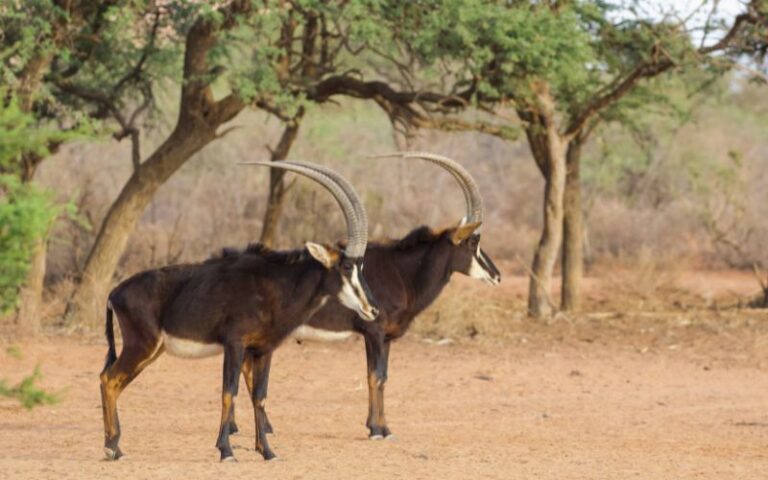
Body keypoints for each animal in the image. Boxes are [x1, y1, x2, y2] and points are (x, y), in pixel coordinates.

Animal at [99, 161, 379, 463]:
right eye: (347, 267)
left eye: (362, 266)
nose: (373, 309)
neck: (276, 285)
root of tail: (114, 294)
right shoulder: (235, 344)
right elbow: (229, 392)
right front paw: (226, 450)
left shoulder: (264, 350)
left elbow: (259, 395)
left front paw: (267, 451)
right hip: (142, 346)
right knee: (109, 379)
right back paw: (112, 447)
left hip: (152, 351)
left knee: (112, 381)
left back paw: (115, 447)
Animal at [226, 152, 501, 440]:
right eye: (473, 242)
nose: (497, 275)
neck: (402, 273)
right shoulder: (374, 331)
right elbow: (375, 376)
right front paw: (379, 429)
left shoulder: (386, 337)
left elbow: (383, 376)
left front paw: (378, 426)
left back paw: (243, 426)